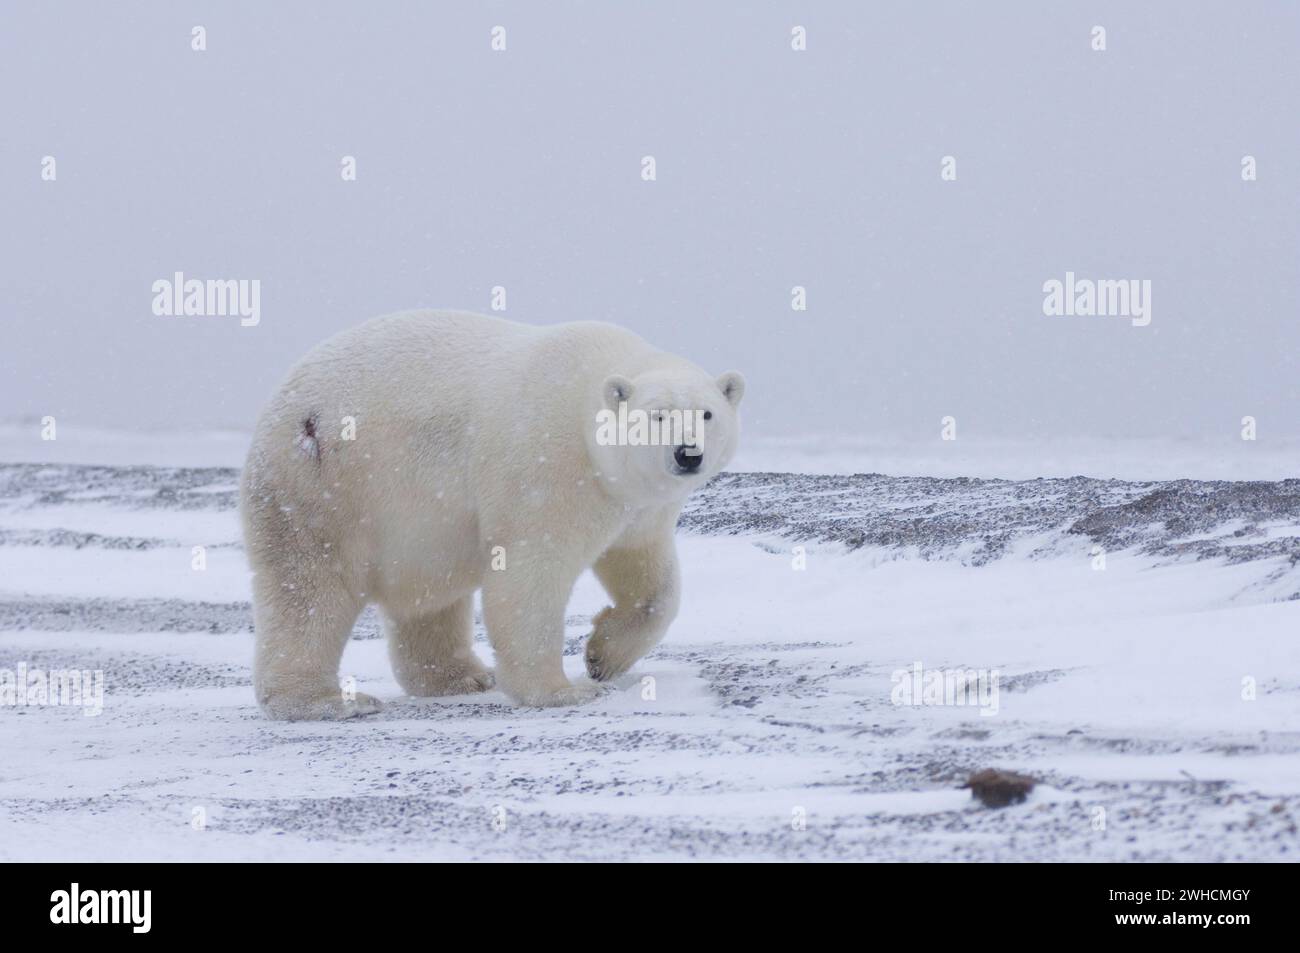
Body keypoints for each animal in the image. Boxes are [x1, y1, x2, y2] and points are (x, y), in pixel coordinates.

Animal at [240, 310, 744, 719]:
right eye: (657, 416)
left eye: (706, 414)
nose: (687, 454)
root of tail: (280, 406)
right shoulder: (547, 465)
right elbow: (531, 574)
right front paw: (562, 691)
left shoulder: (637, 505)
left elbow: (647, 575)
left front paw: (604, 658)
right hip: (326, 484)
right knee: (311, 585)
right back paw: (325, 701)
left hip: (414, 519)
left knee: (429, 596)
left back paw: (460, 676)